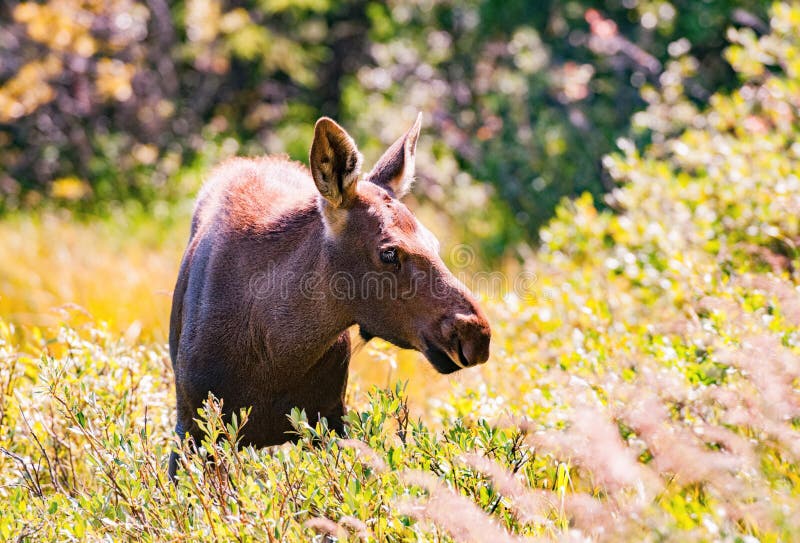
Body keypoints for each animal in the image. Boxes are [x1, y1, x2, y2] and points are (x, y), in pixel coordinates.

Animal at [168, 114, 491, 478]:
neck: (274, 354)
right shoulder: (190, 430)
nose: (476, 333)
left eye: (434, 242)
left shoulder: (330, 419)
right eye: (389, 252)